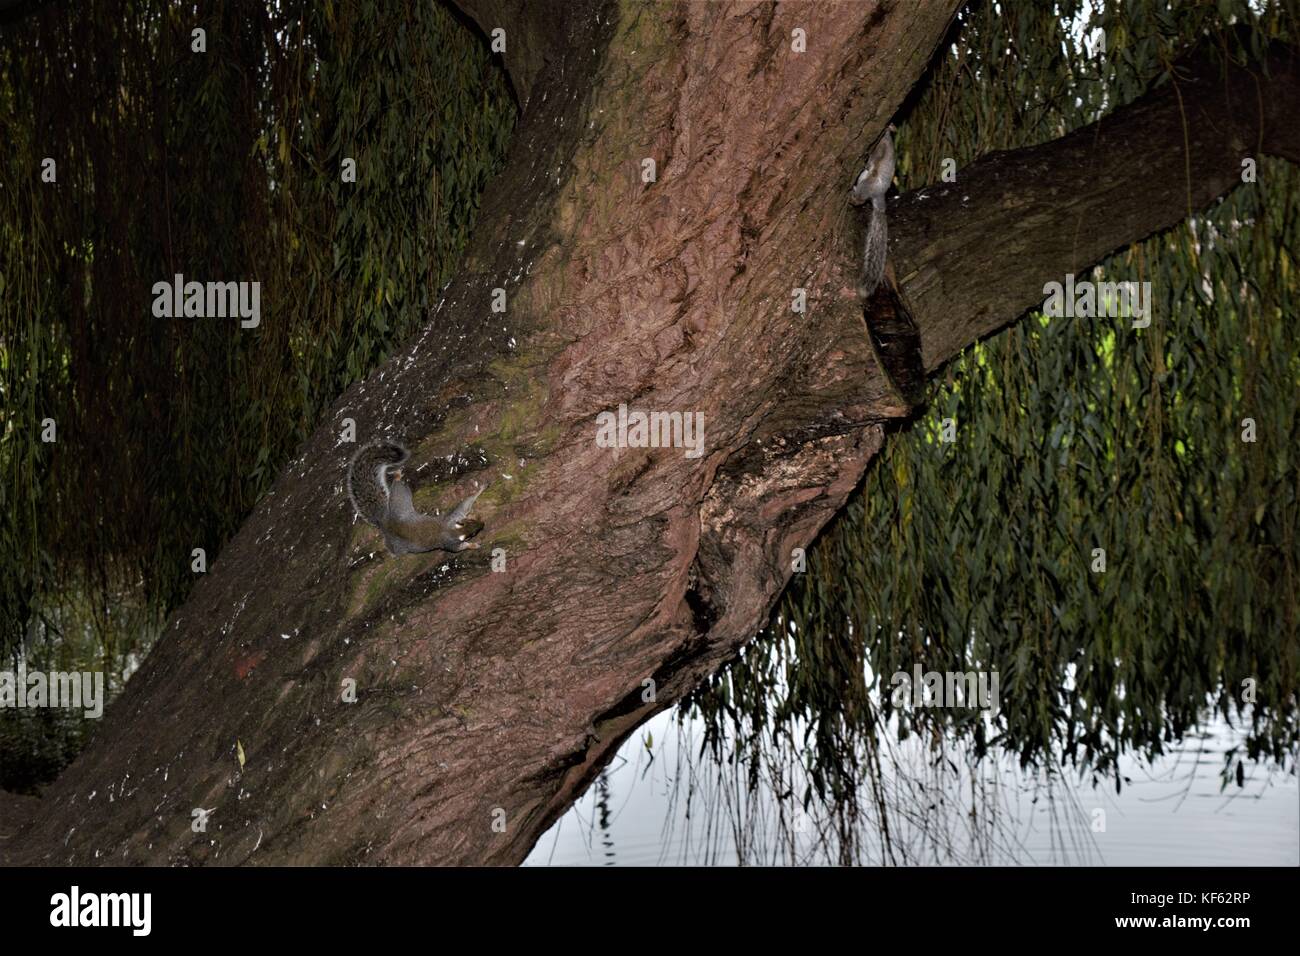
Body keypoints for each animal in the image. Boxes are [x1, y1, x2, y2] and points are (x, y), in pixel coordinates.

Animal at [347, 441, 487, 555]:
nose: (482, 524)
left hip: (399, 499)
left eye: (471, 520)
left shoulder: (454, 517)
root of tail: (384, 520)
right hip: (397, 542)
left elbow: (465, 504)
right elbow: (459, 547)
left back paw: (397, 475)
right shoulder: (450, 542)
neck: (451, 530)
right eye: (473, 533)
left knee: (397, 486)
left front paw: (481, 488)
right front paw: (473, 545)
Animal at [849, 126, 896, 300]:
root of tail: (879, 198)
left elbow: (874, 156)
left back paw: (853, 195)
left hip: (868, 183)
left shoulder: (881, 149)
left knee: (861, 197)